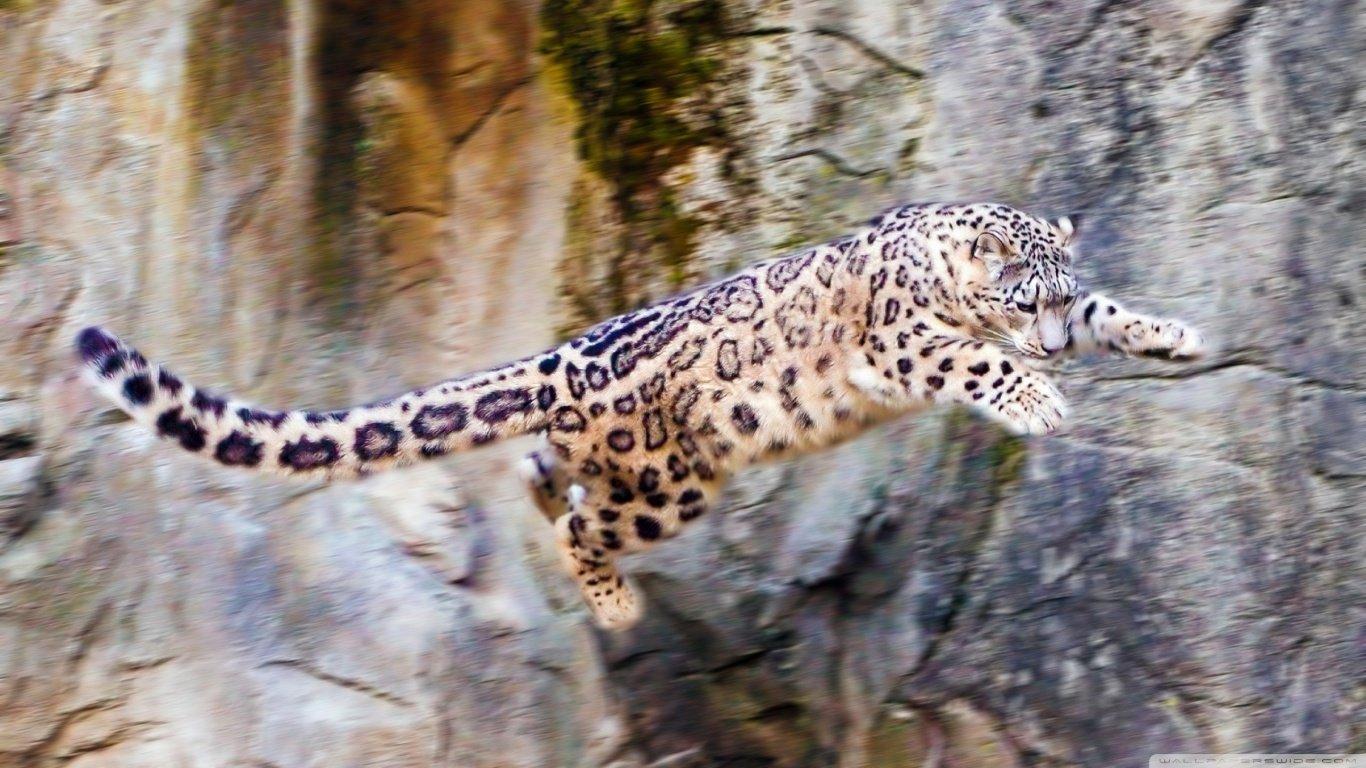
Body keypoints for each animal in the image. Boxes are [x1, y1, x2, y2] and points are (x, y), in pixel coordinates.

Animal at [75, 202, 1207, 630]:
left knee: (544, 475)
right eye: (1022, 300)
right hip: (673, 482)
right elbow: (967, 357)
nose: (1048, 346)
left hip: (624, 466)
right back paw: (615, 605)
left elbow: (1117, 317)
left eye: (1063, 294)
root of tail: (560, 359)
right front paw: (1040, 399)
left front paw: (1174, 335)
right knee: (583, 522)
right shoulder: (903, 339)